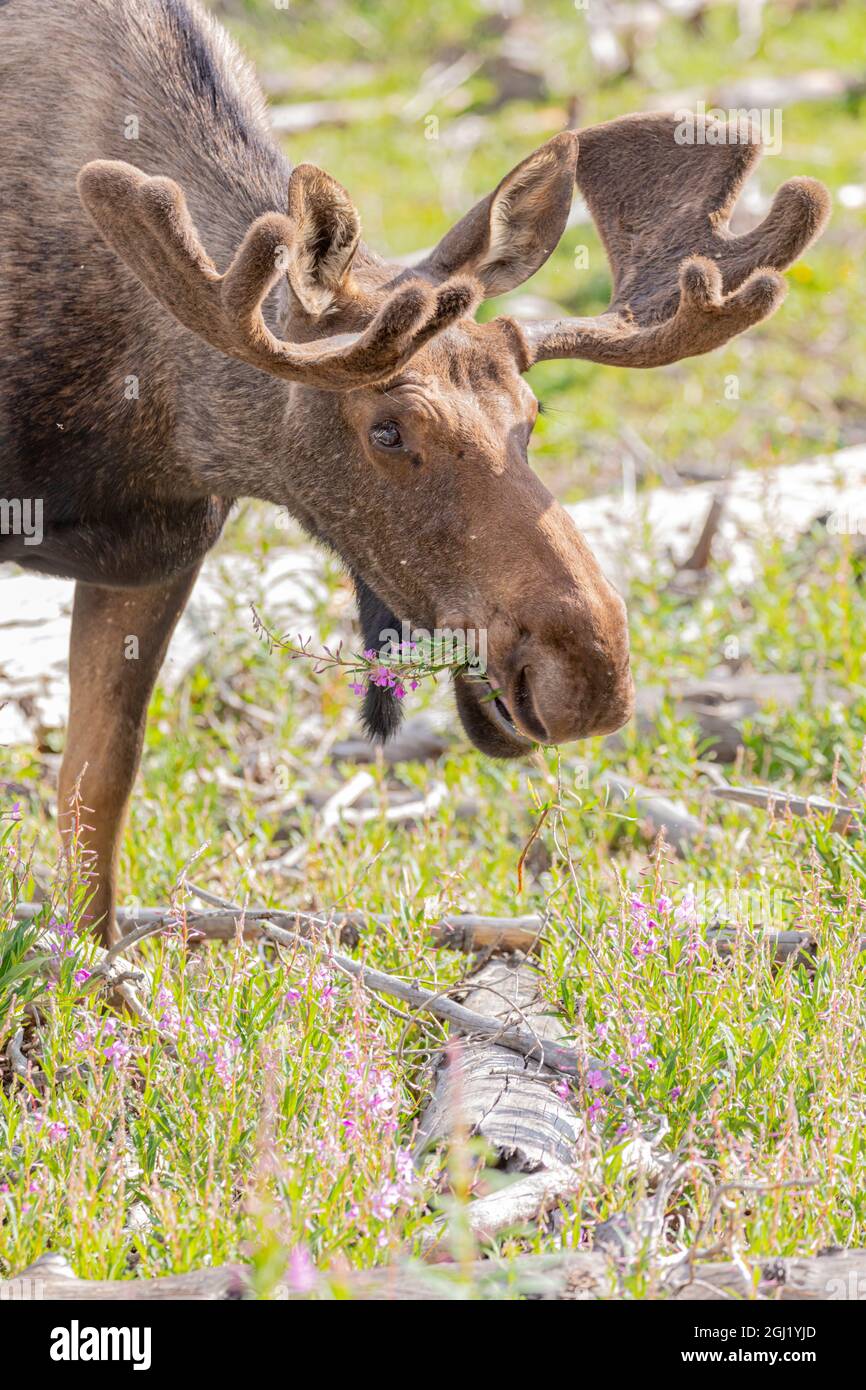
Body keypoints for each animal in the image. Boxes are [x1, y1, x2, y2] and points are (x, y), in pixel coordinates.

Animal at [0, 0, 830, 946]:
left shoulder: (159, 555)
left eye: (532, 417)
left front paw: (94, 976)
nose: (589, 673)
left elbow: (96, 796)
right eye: (389, 431)